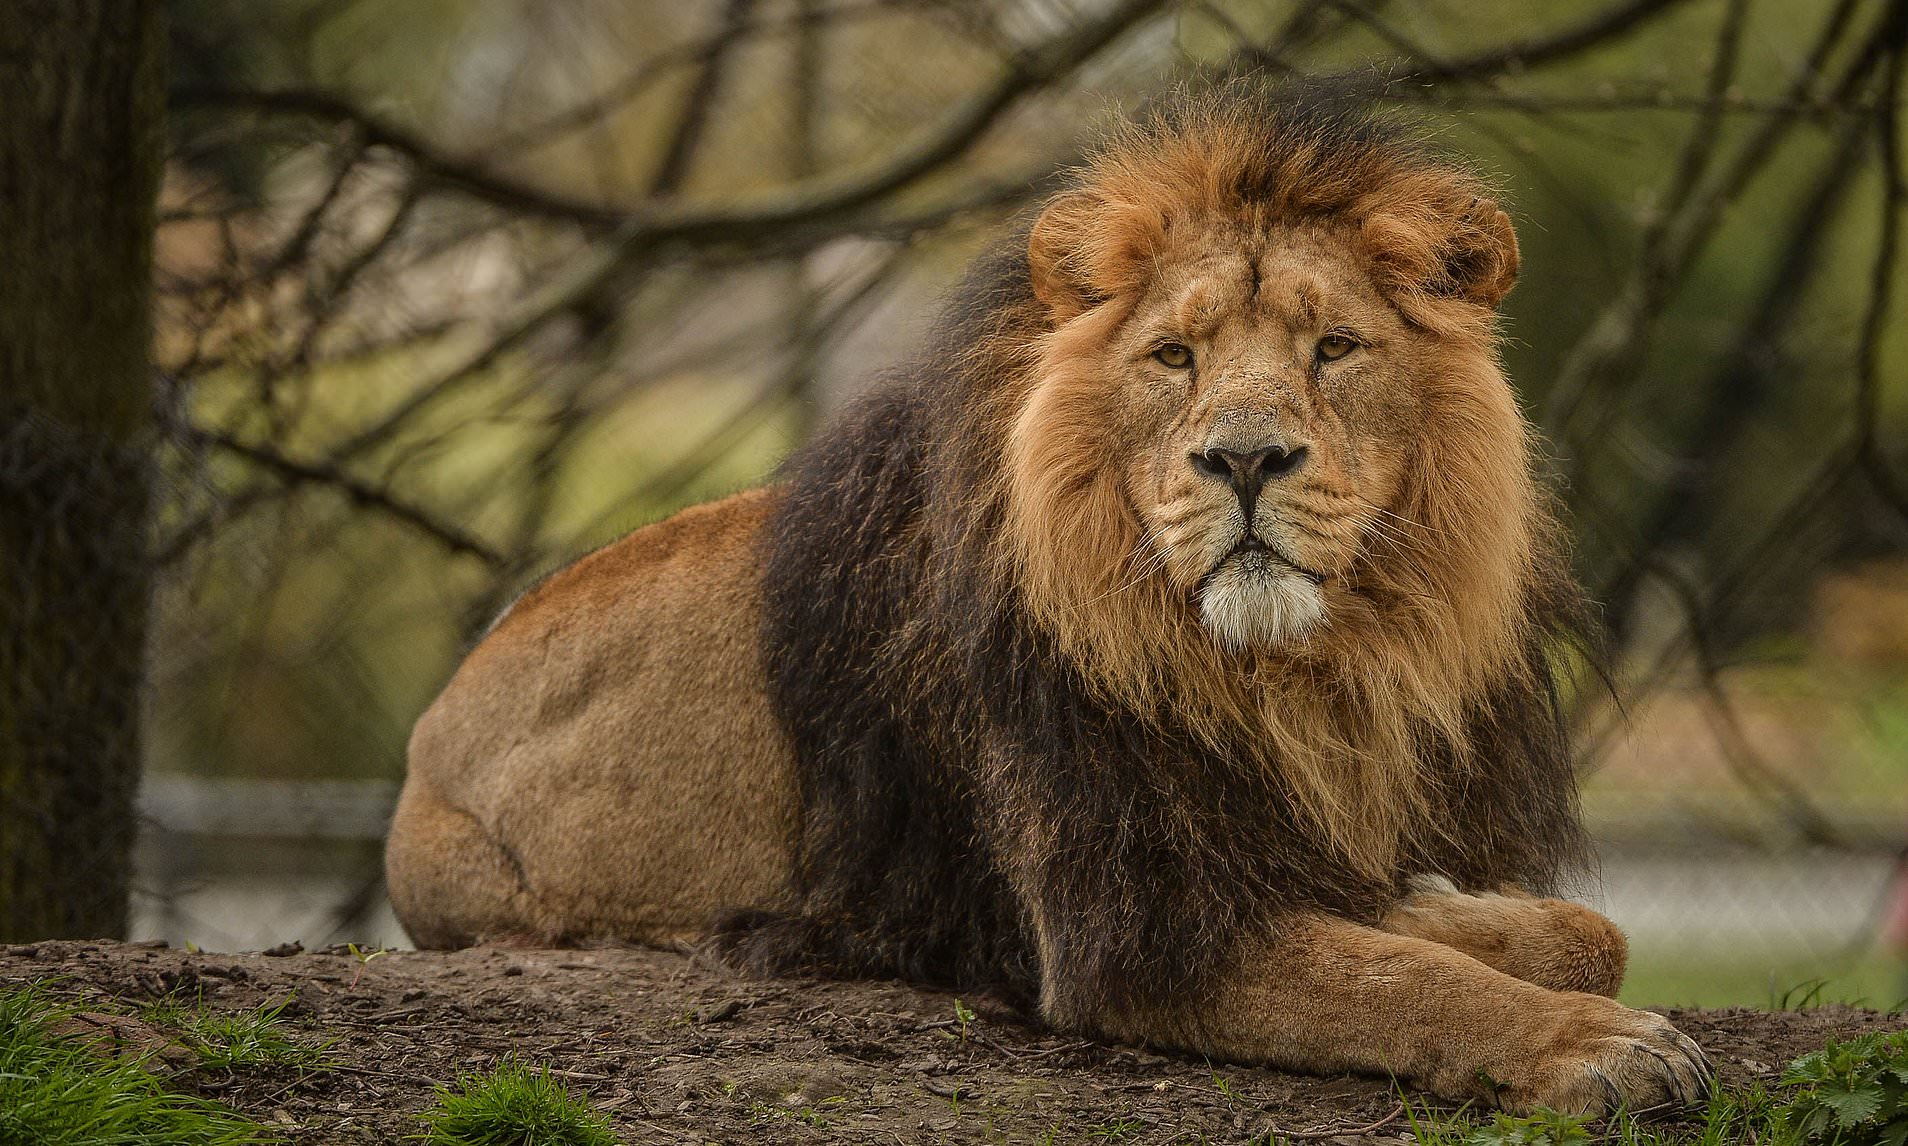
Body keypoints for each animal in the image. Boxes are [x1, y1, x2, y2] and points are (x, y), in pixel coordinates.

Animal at [385, 82, 1711, 1114]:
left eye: (1334, 348)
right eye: (1174, 357)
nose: (1243, 459)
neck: (1299, 680)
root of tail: (423, 737)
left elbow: (1588, 931)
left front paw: (1423, 904)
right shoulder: (1131, 930)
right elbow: (1406, 983)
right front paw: (1587, 1042)